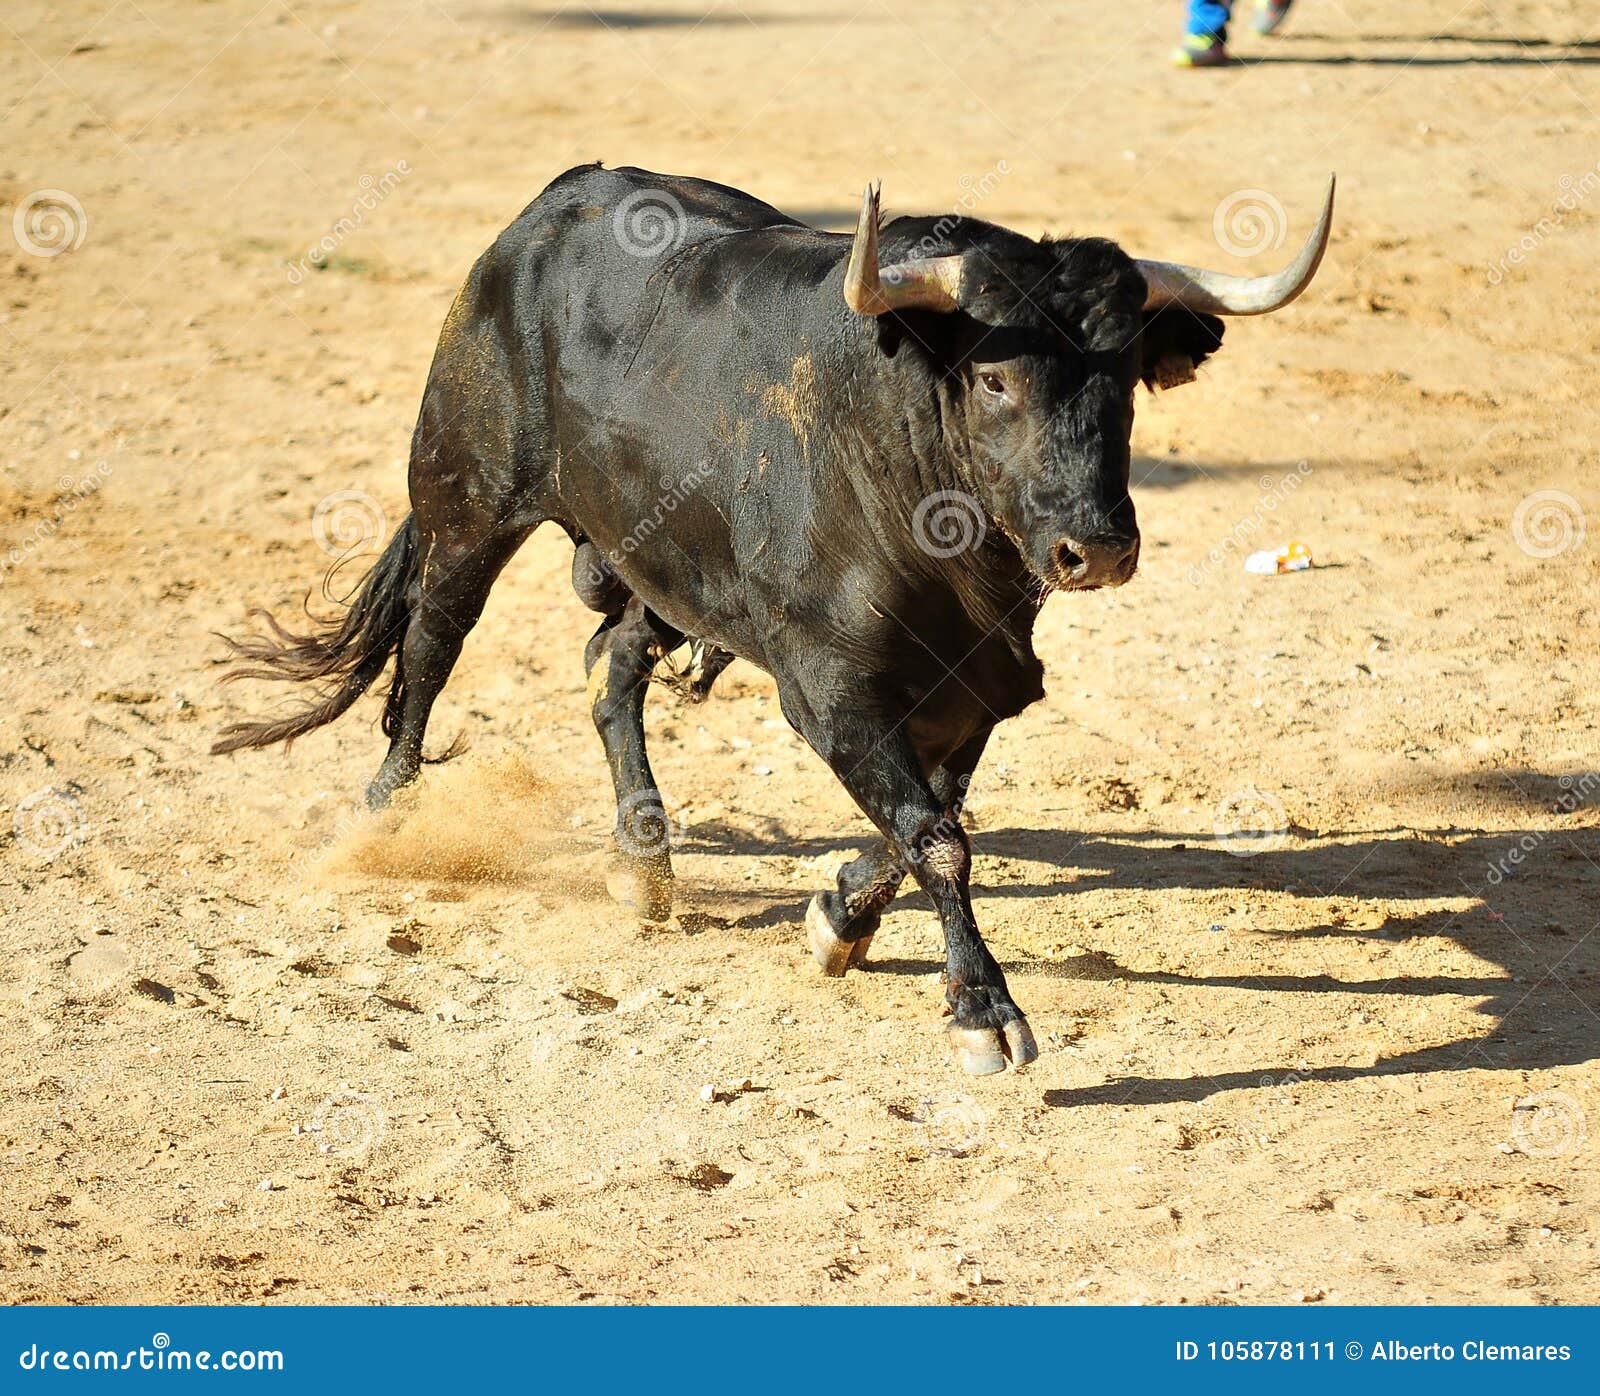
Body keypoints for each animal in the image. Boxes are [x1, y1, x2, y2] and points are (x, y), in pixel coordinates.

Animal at [214, 164, 1334, 1075]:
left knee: (609, 662)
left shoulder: (973, 693)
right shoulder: (829, 690)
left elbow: (925, 821)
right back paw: (381, 821)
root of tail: (542, 212)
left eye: (1127, 381)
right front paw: (982, 1010)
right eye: (995, 376)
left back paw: (644, 862)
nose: (1095, 549)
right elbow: (936, 839)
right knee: (431, 648)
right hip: (467, 503)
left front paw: (837, 918)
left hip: (662, 563)